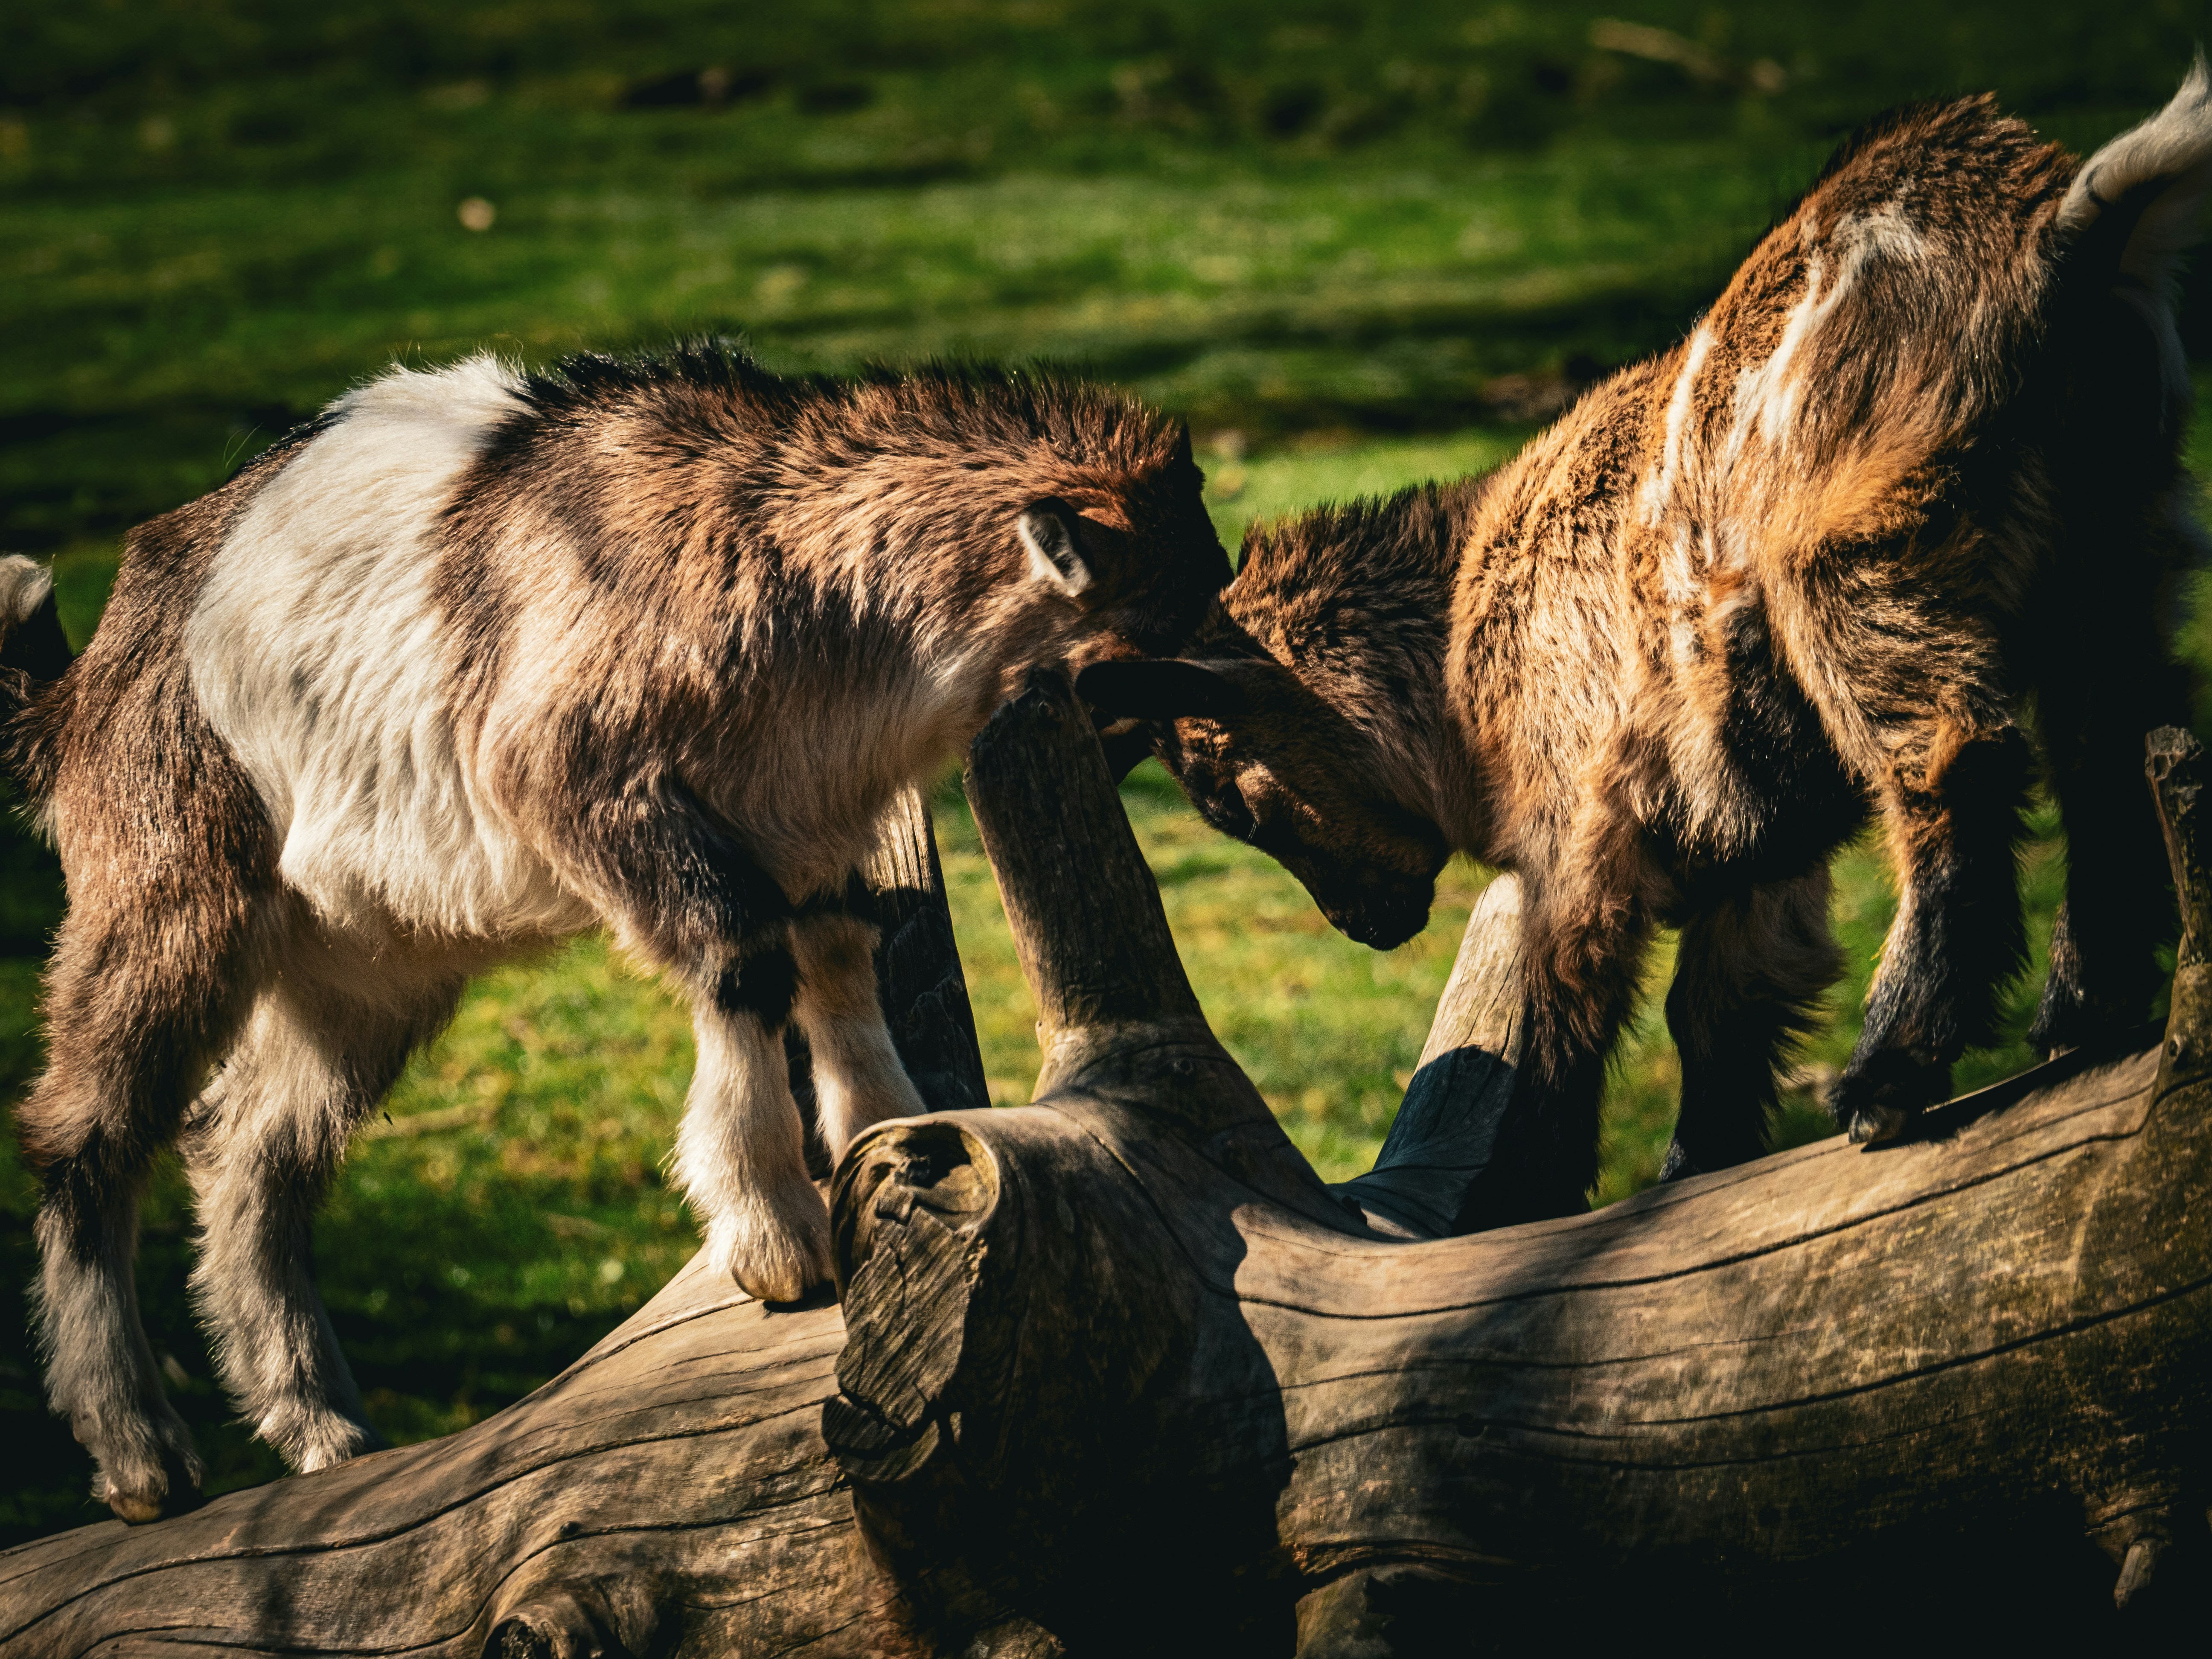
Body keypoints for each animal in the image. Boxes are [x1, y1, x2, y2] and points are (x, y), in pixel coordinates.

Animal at [0, 343, 1229, 1521]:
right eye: (1163, 623)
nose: (1222, 746)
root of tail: (80, 686)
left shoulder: (803, 822)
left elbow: (837, 959)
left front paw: (887, 1151)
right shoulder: (585, 782)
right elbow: (739, 958)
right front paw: (777, 1241)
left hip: (365, 960)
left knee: (253, 1148)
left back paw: (322, 1429)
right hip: (168, 888)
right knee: (85, 1135)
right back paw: (141, 1458)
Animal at [1084, 66, 2212, 1227]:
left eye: (1227, 797)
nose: (1364, 928)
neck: (1453, 642)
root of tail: (2058, 234)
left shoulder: (1577, 826)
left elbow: (1559, 1020)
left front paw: (1521, 1205)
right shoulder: (1753, 843)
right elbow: (1721, 1006)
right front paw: (1690, 1173)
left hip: (1865, 559)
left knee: (1951, 764)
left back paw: (1890, 1074)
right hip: (2117, 547)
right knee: (2111, 741)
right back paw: (2083, 1010)